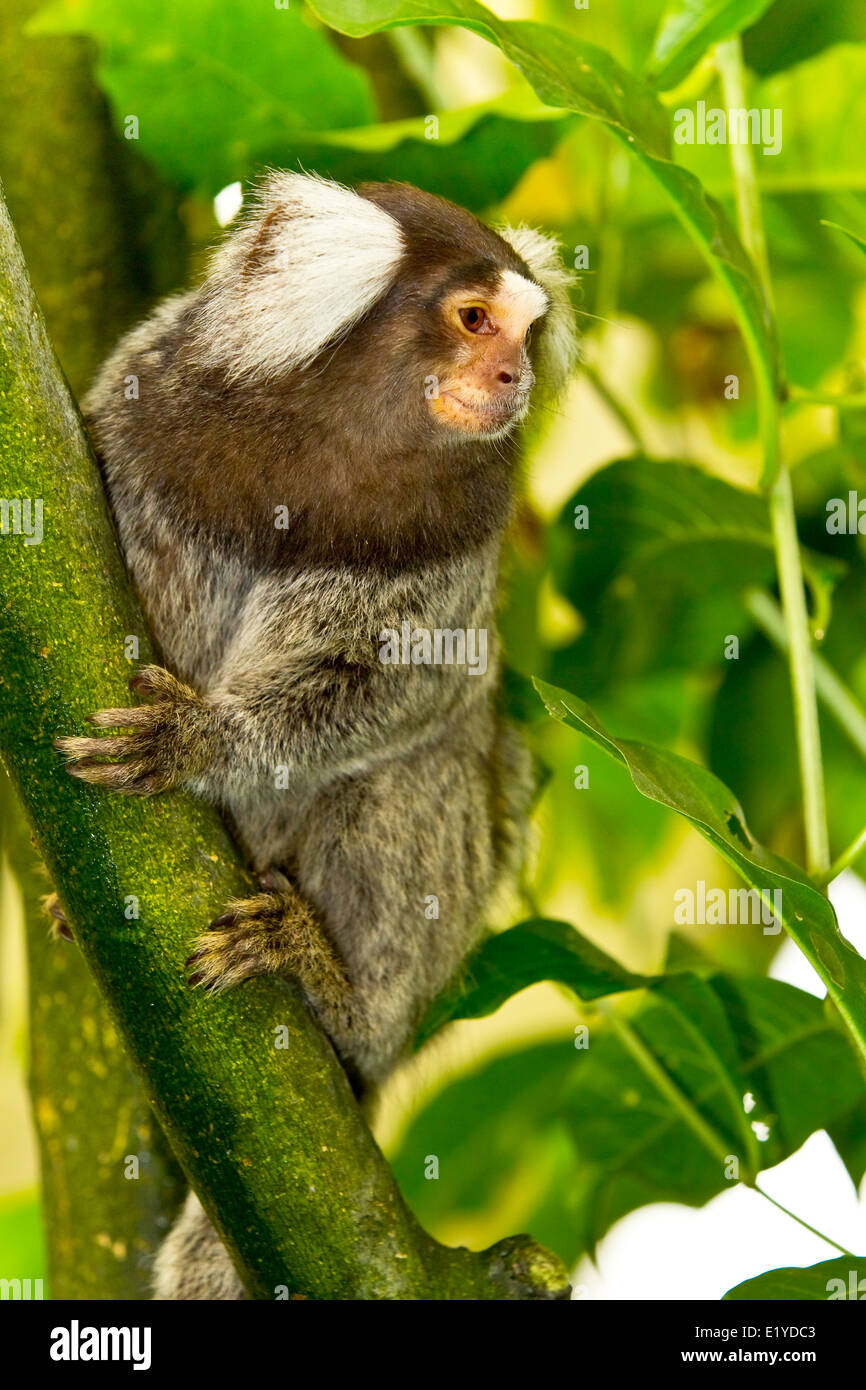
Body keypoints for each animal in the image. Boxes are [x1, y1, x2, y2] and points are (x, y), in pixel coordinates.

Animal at [54, 172, 577, 1299]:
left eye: (526, 332)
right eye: (475, 321)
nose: (511, 374)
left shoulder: (452, 548)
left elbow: (408, 687)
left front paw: (205, 740)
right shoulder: (138, 411)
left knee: (420, 779)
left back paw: (330, 989)